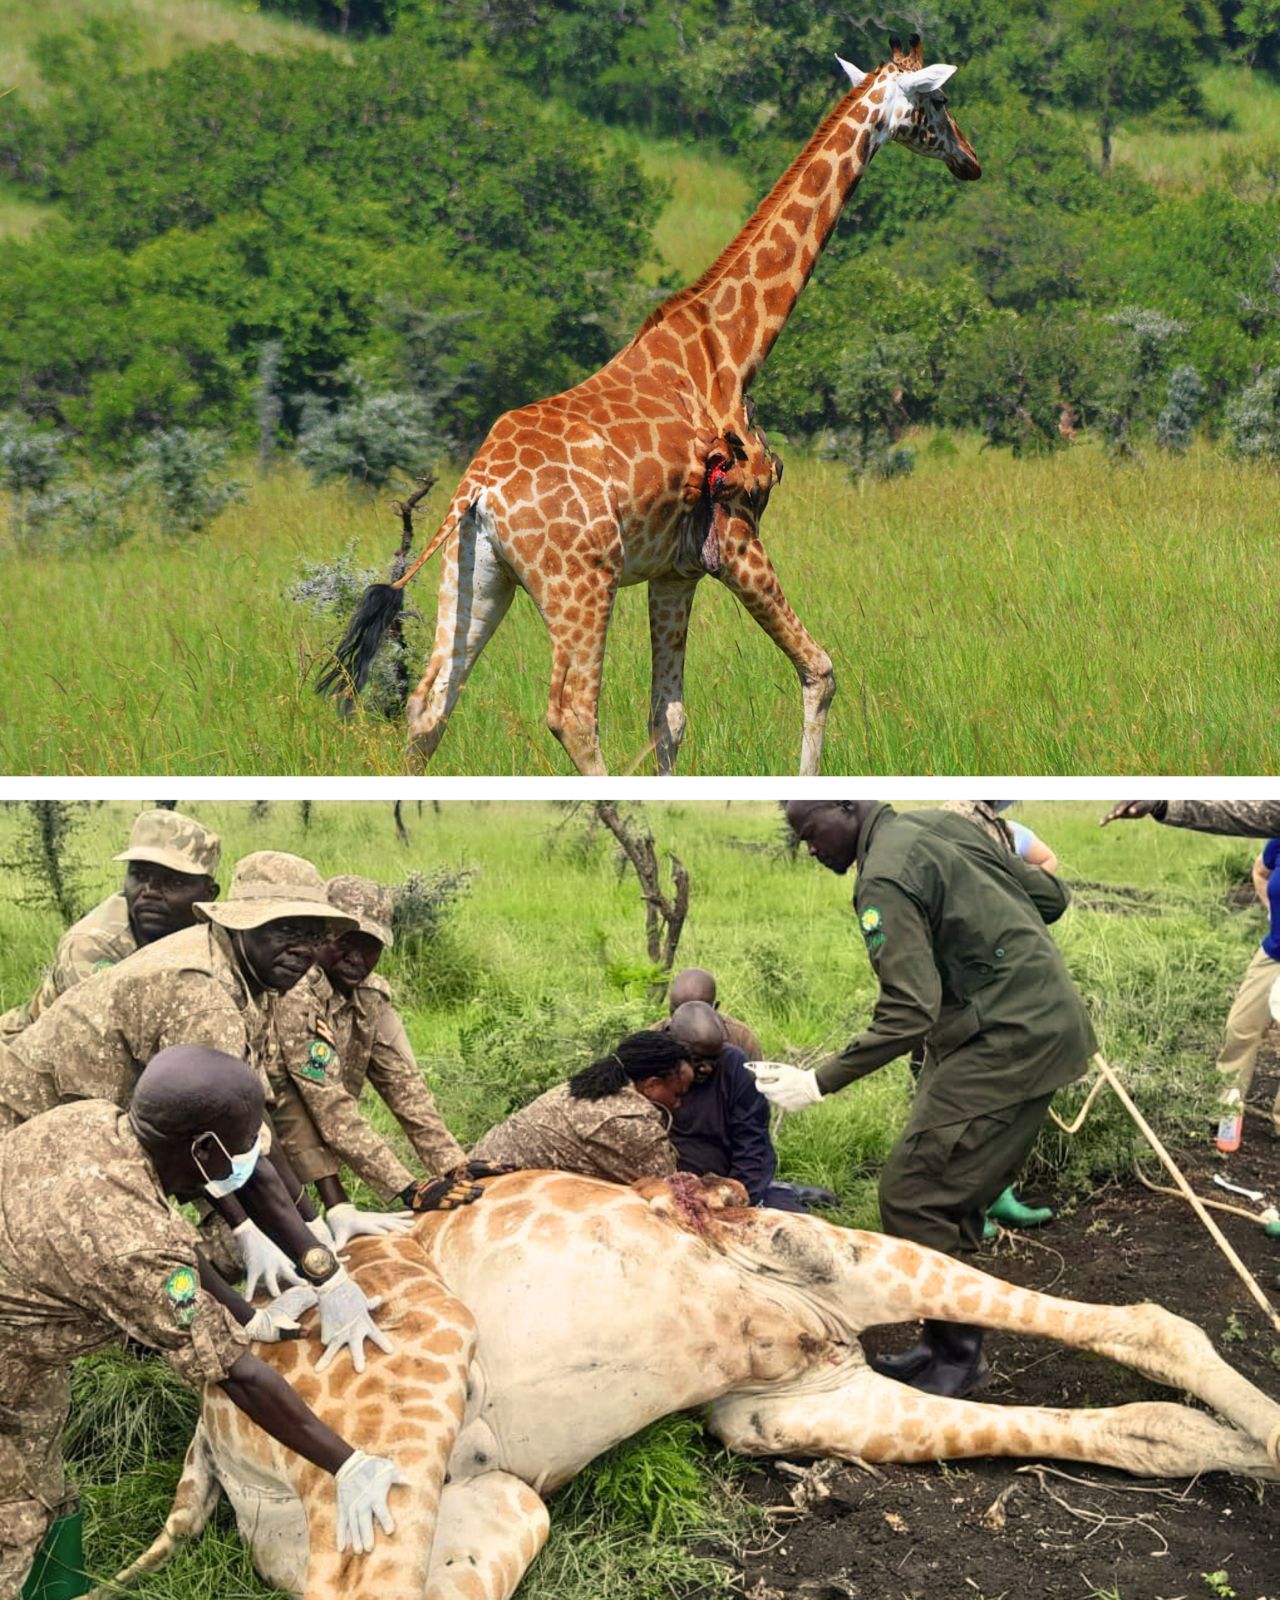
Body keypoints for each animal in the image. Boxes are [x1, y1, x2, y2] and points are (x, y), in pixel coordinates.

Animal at [115, 1172, 1280, 1600]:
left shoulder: (792, 1395)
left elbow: (1149, 1421)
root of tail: (208, 1421)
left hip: (484, 1501)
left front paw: (1231, 1446)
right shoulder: (829, 1257)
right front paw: (1266, 1435)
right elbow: (1157, 1322)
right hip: (408, 1376)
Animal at [325, 36, 980, 775]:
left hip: (478, 577)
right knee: (571, 713)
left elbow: (668, 719)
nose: (970, 160)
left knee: (430, 704)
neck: (734, 345)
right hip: (581, 581)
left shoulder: (676, 568)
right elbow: (820, 670)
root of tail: (476, 492)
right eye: (940, 101)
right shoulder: (737, 534)